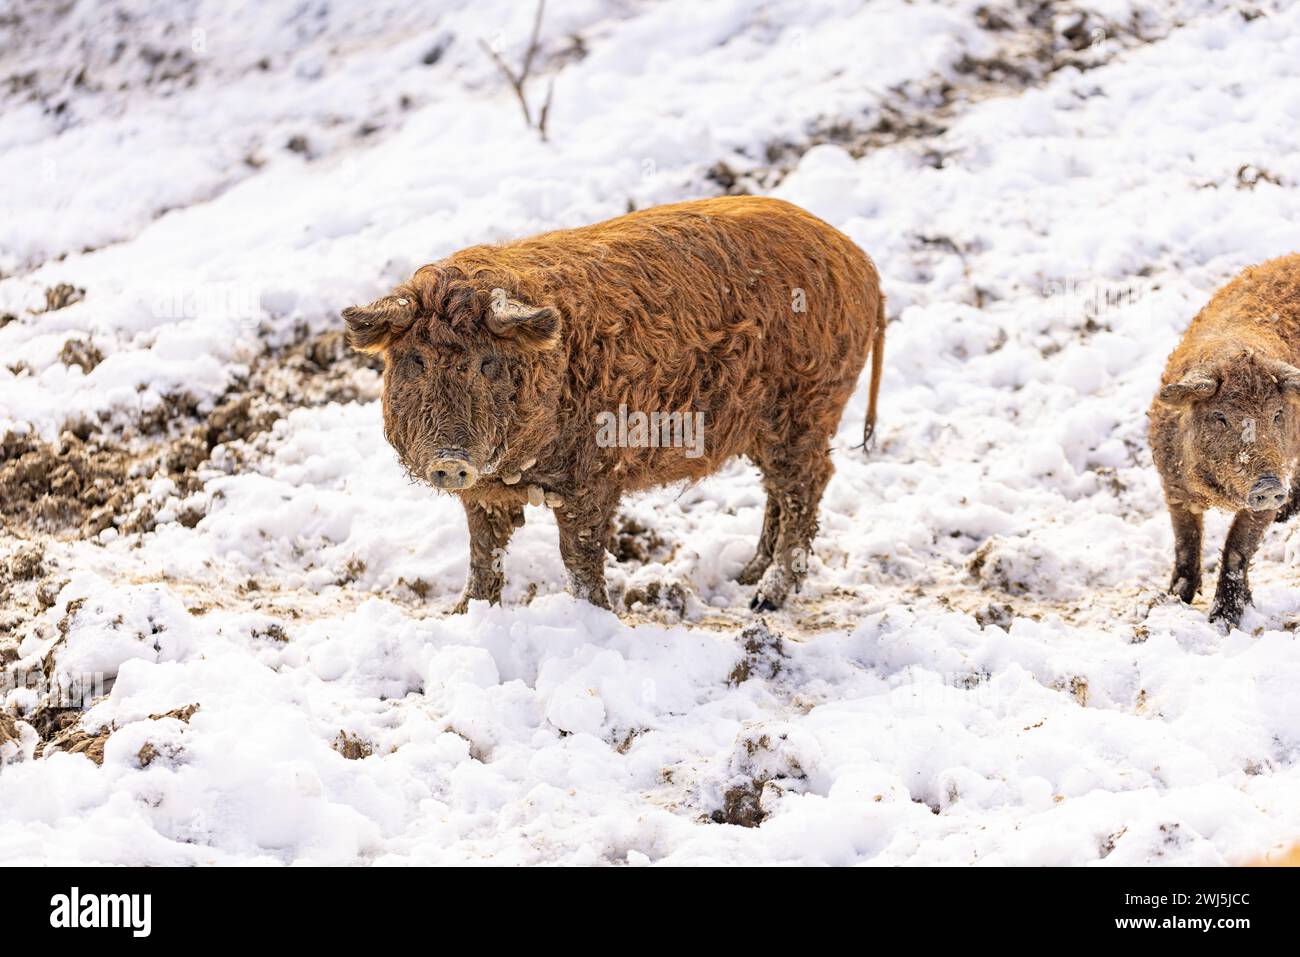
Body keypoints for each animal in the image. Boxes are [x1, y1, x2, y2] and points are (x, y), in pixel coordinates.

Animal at [342, 196, 885, 612]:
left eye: (487, 362)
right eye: (415, 359)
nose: (450, 461)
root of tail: (861, 262)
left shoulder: (593, 477)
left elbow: (579, 555)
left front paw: (594, 617)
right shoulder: (485, 491)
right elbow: (483, 550)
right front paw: (466, 613)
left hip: (808, 408)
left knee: (806, 488)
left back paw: (764, 601)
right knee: (777, 491)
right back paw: (747, 576)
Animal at [1149, 253, 1300, 626]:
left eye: (1278, 414)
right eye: (1220, 417)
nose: (1267, 484)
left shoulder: (1268, 493)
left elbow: (1238, 547)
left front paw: (1224, 620)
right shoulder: (1171, 484)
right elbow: (1185, 540)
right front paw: (1173, 600)